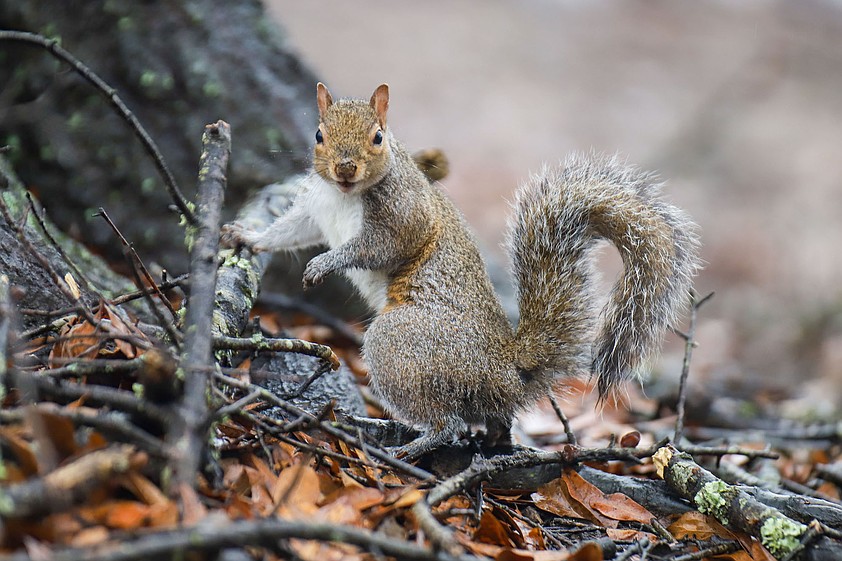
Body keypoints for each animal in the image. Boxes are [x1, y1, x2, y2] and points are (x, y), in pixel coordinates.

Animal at [222, 83, 701, 459]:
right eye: (319, 135)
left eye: (378, 137)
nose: (344, 168)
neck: (344, 194)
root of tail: (508, 371)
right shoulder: (314, 208)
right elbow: (291, 231)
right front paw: (248, 236)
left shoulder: (405, 218)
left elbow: (375, 247)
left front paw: (325, 263)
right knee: (492, 419)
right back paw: (492, 440)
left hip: (401, 343)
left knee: (448, 422)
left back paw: (415, 443)